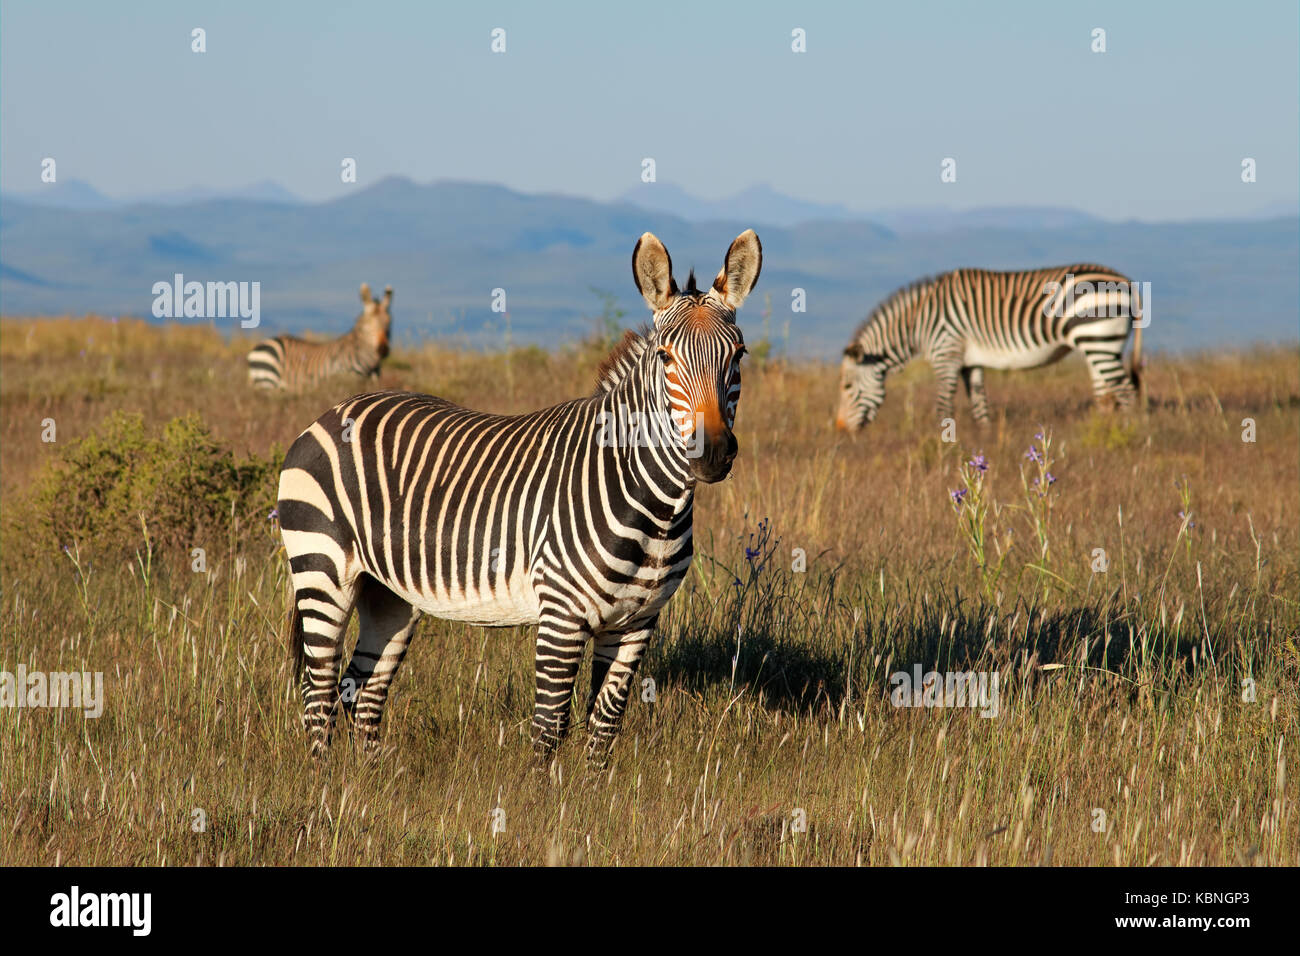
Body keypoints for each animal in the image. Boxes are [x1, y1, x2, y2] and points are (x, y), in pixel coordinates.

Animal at [247, 283, 393, 391]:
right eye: (368, 325)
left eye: (389, 323)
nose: (383, 349)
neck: (370, 364)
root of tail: (260, 344)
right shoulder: (346, 380)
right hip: (267, 382)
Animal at [277, 230, 761, 769]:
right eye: (665, 358)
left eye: (738, 355)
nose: (711, 453)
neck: (655, 510)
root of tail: (330, 412)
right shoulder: (561, 614)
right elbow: (550, 728)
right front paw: (543, 793)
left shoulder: (638, 622)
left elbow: (604, 726)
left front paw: (594, 790)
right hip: (323, 570)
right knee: (318, 691)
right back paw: (325, 781)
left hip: (389, 594)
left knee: (362, 687)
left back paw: (368, 779)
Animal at [835, 265, 1143, 429]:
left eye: (847, 387)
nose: (840, 428)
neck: (919, 322)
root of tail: (1128, 282)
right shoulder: (969, 362)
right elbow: (980, 406)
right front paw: (983, 444)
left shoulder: (946, 354)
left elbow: (943, 407)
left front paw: (941, 446)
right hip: (1099, 346)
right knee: (1106, 395)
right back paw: (1102, 433)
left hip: (1098, 339)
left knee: (1127, 393)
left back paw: (1127, 438)